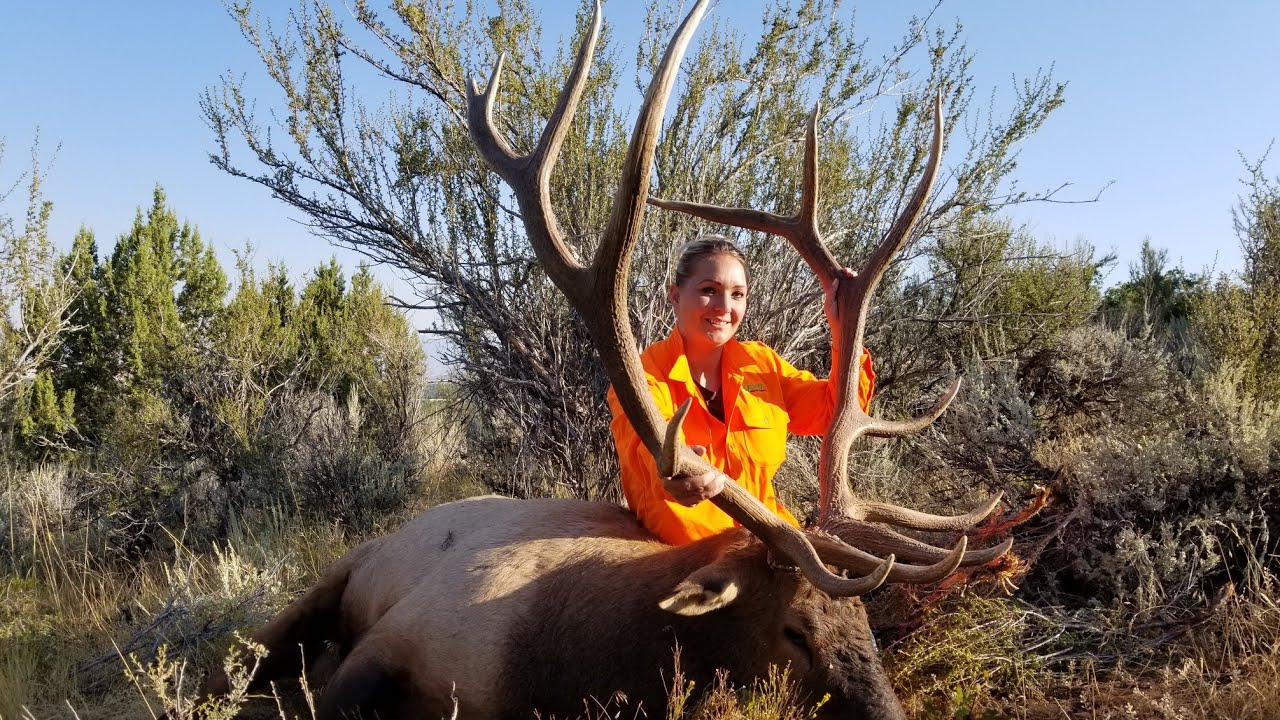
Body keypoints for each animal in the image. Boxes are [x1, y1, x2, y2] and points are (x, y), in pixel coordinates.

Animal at [194, 1, 1030, 718]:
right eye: (795, 630)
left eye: (867, 627)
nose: (890, 712)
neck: (556, 670)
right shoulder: (399, 638)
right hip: (331, 578)